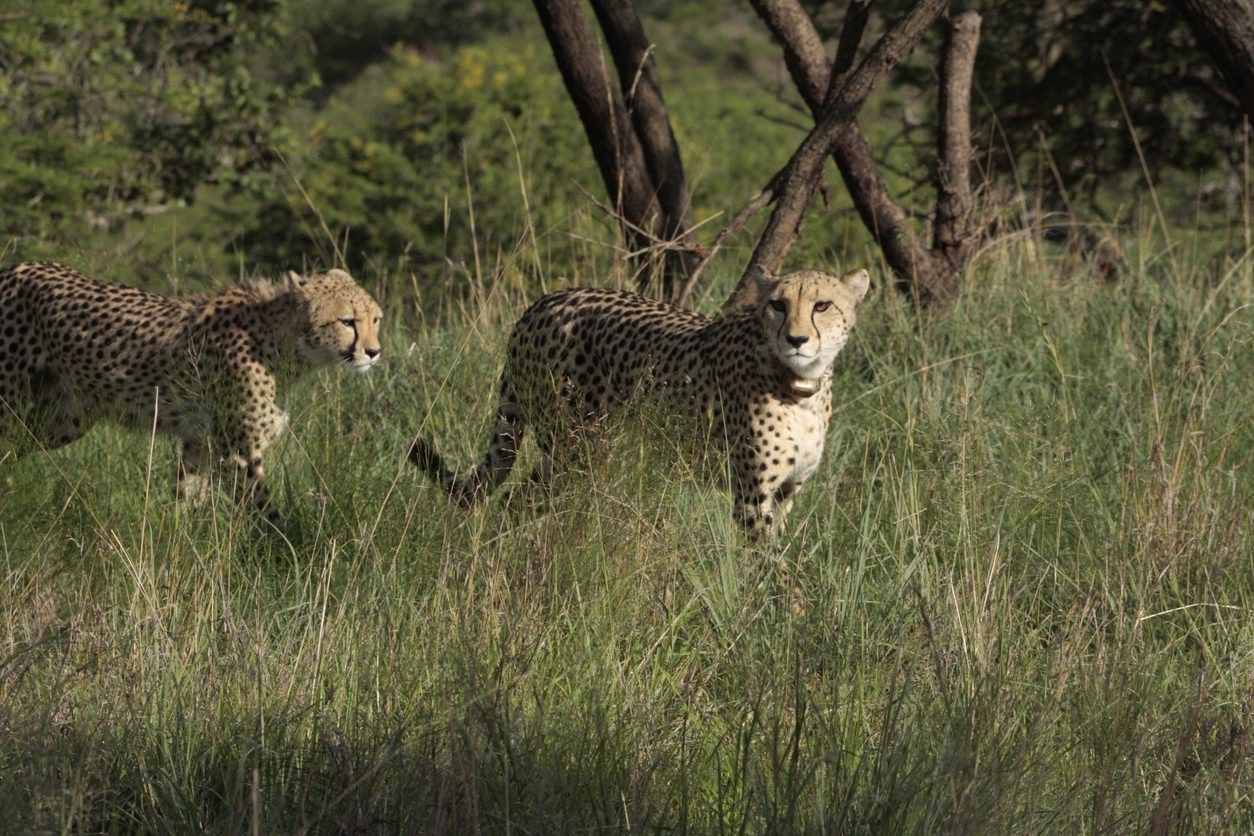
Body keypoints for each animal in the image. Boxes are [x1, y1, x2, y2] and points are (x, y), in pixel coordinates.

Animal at [0, 261, 383, 516]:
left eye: (375, 319)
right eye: (347, 321)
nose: (374, 352)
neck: (282, 342)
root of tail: (17, 265)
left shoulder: (201, 443)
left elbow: (187, 496)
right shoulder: (239, 452)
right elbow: (264, 511)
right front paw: (282, 549)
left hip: (62, 421)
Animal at [409, 267, 869, 535]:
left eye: (822, 305)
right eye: (777, 304)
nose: (796, 339)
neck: (801, 387)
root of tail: (542, 303)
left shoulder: (785, 492)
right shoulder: (752, 495)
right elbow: (770, 566)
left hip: (570, 454)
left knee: (514, 502)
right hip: (578, 451)